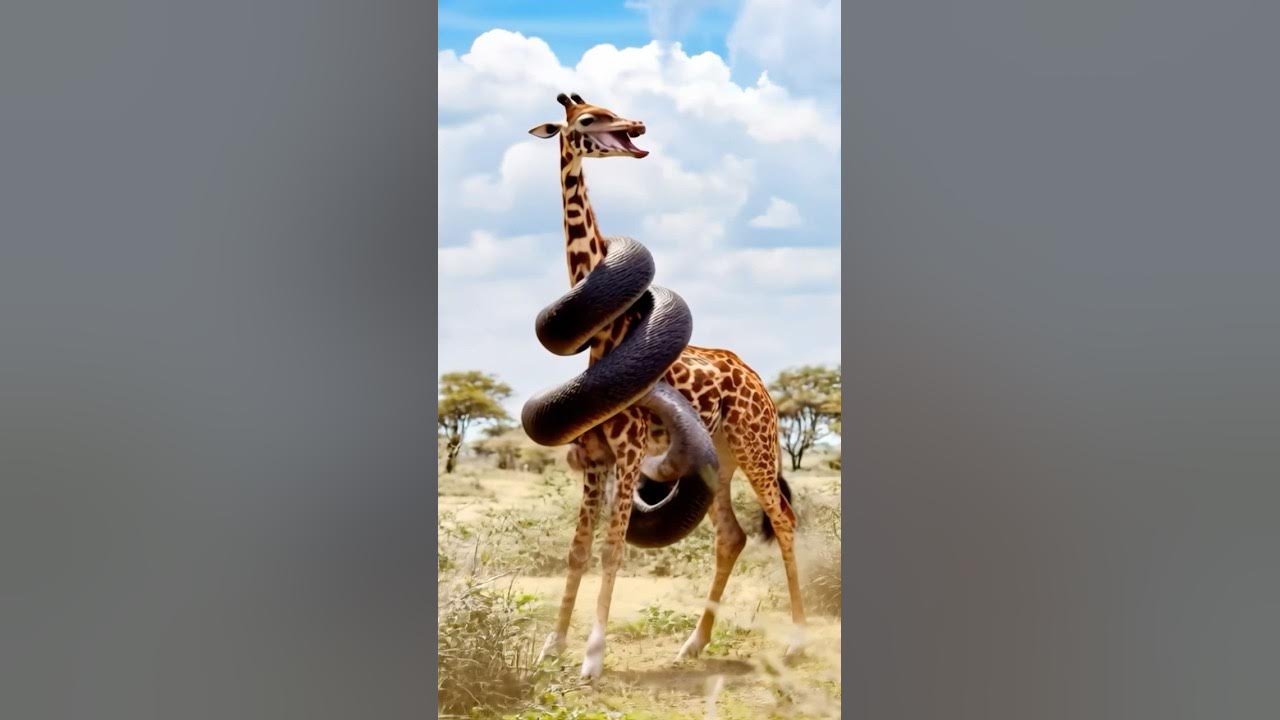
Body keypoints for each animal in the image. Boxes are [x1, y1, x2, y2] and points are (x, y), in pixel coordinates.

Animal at [527, 92, 805, 679]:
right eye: (588, 118)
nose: (638, 125)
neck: (607, 338)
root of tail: (758, 381)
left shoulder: (630, 452)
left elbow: (612, 549)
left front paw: (592, 658)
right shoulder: (595, 457)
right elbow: (578, 548)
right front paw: (552, 647)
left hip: (756, 446)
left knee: (783, 520)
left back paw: (795, 641)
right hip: (720, 457)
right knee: (731, 534)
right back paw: (693, 645)